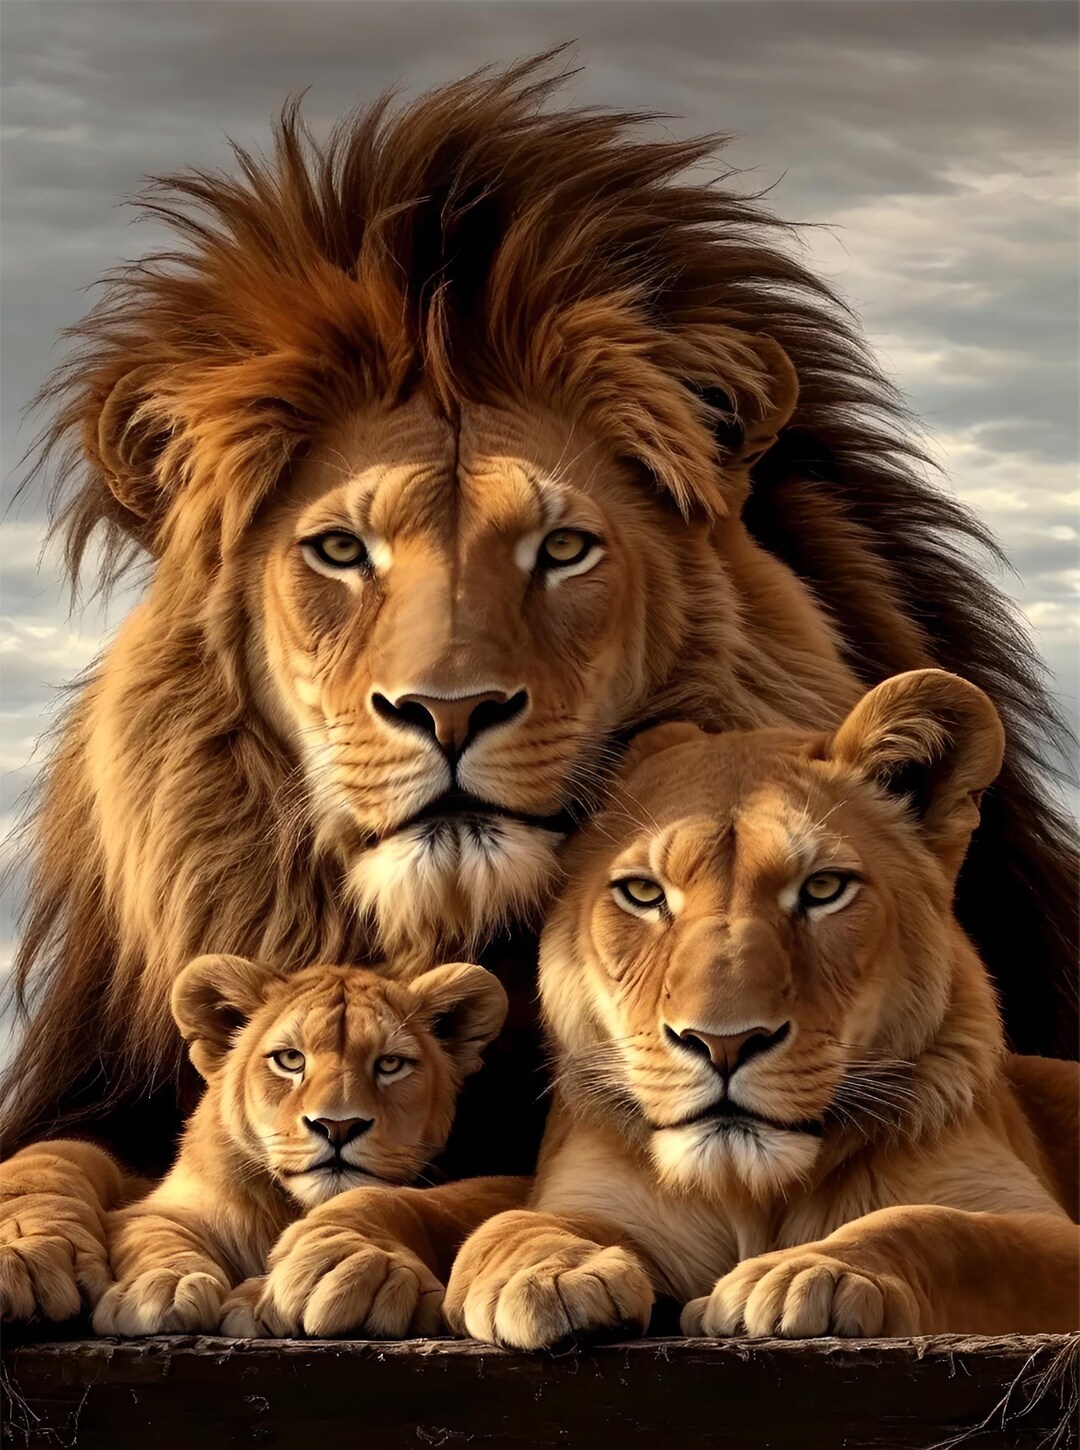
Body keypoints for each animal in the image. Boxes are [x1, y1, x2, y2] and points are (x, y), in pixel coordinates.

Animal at [88, 953, 514, 1336]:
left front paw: (360, 1268)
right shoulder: (162, 1205)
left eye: (390, 1064)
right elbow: (155, 1232)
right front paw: (162, 1287)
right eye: (291, 1059)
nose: (337, 1126)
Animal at [444, 671, 1079, 1346]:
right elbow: (508, 1225)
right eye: (642, 892)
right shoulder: (593, 1195)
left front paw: (807, 1273)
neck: (749, 1194)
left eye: (823, 888)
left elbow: (943, 1228)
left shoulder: (1038, 1227)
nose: (725, 1043)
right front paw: (548, 1275)